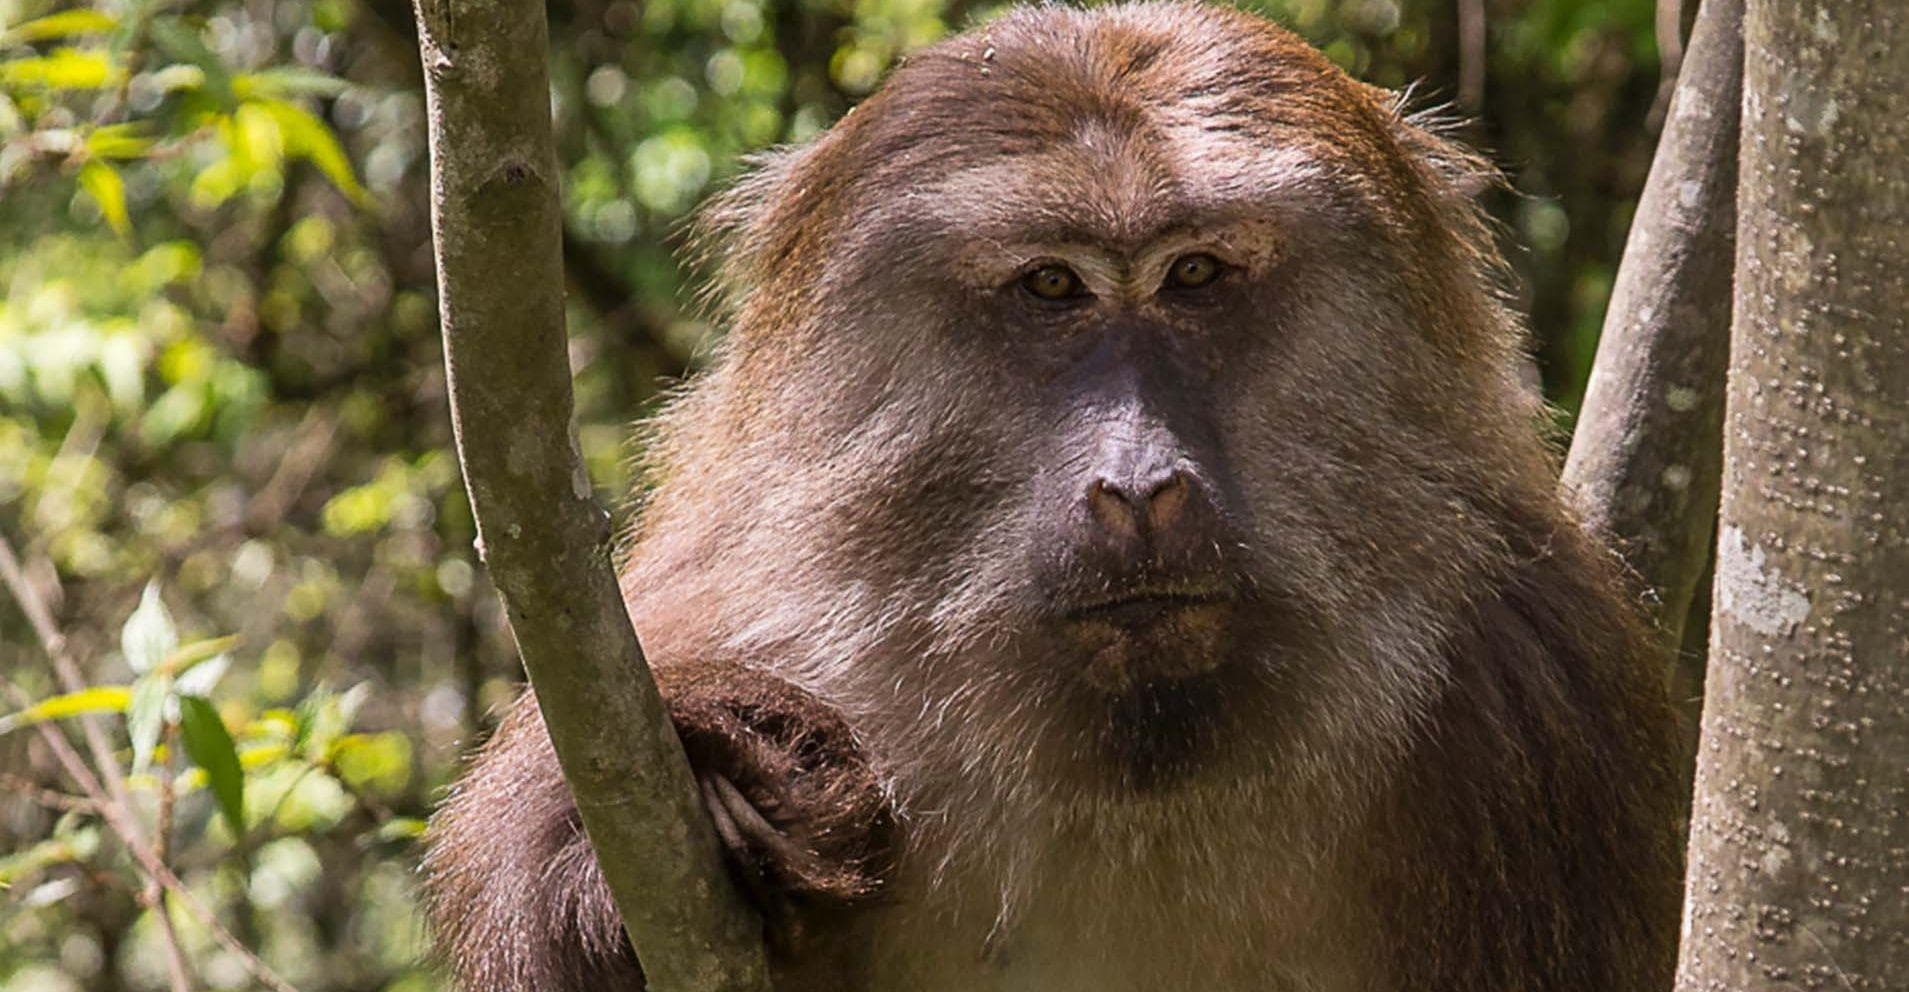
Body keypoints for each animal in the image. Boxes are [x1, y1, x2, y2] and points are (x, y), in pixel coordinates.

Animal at [422, 3, 1683, 990]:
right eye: (1050, 286)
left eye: (1194, 275)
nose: (1138, 484)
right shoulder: (720, 612)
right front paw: (733, 785)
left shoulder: (1534, 697)